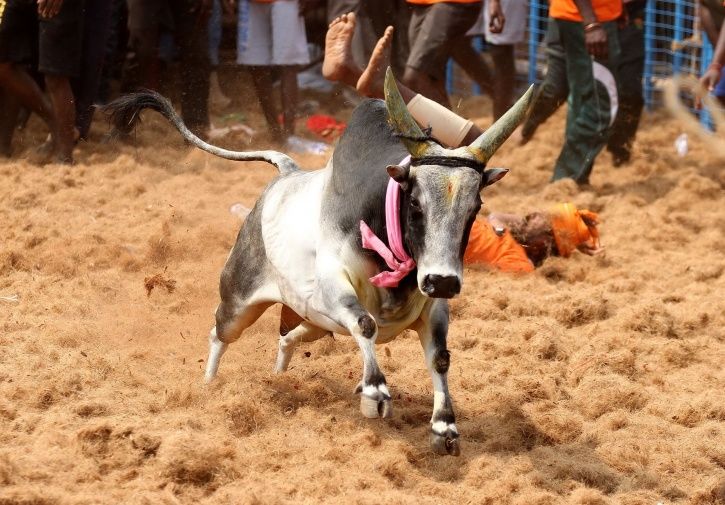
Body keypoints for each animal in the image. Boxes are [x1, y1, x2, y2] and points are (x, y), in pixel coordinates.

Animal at [104, 69, 533, 456]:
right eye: (414, 202)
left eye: (474, 207)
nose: (443, 280)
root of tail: (285, 174)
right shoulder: (334, 285)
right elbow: (366, 324)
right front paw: (374, 392)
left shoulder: (433, 307)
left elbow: (440, 358)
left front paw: (445, 427)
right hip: (241, 302)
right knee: (219, 335)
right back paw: (208, 386)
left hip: (314, 321)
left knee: (287, 338)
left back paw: (279, 376)